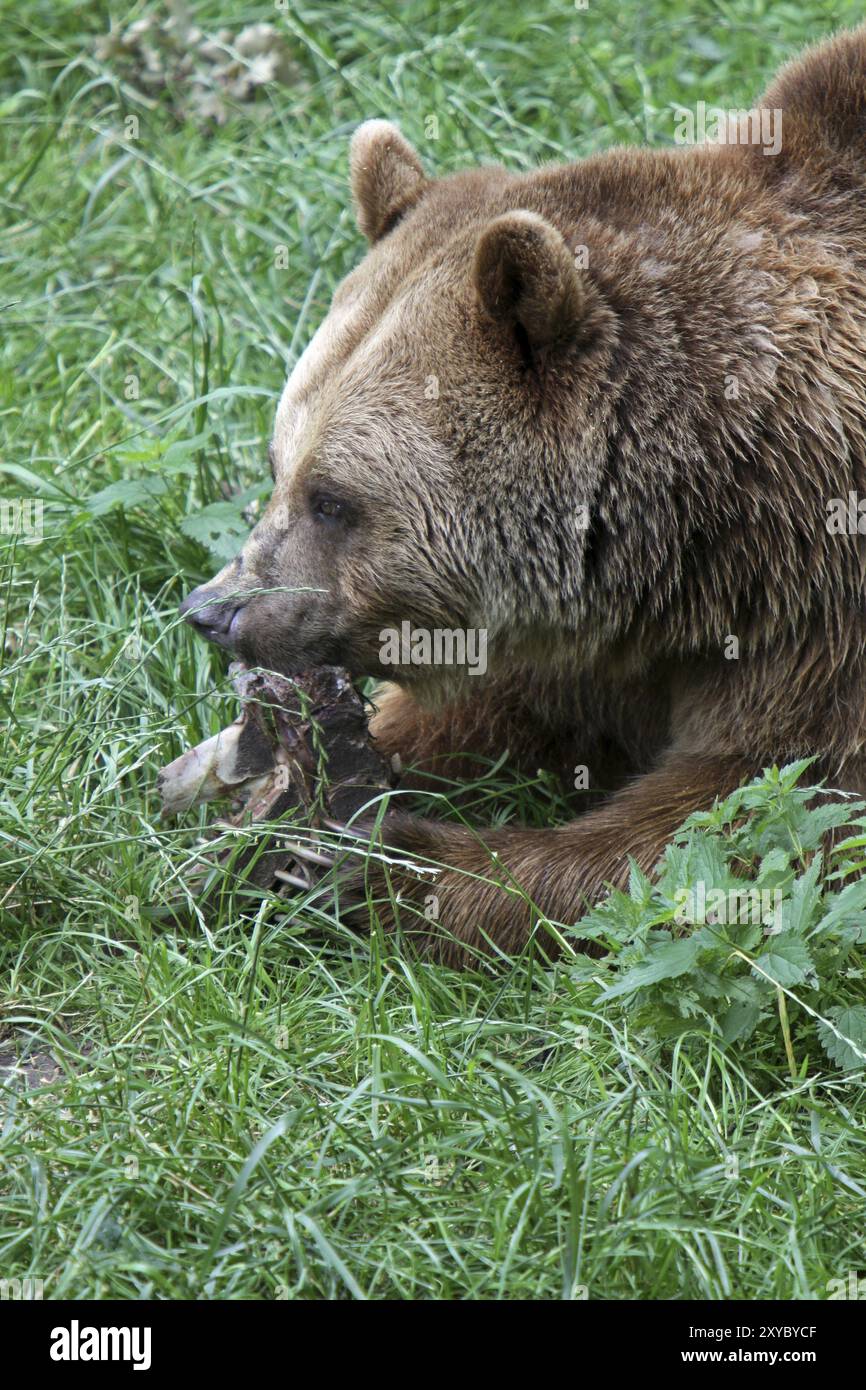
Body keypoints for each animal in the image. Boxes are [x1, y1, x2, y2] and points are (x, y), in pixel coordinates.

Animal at [180, 27, 866, 966]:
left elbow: (752, 812)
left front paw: (373, 864)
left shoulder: (820, 618)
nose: (214, 610)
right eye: (277, 462)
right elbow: (499, 705)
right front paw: (246, 781)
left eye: (333, 499)